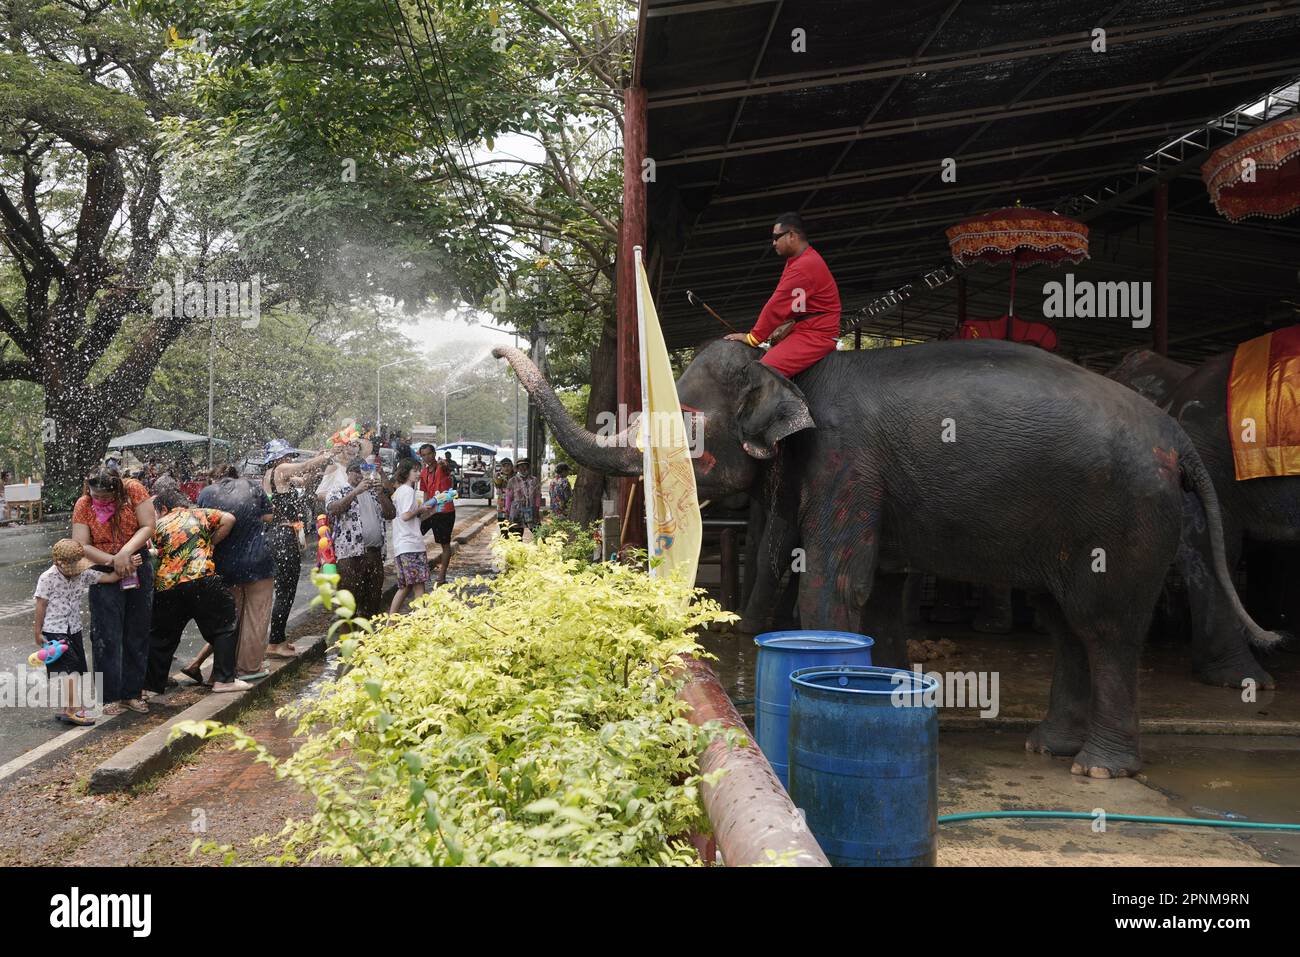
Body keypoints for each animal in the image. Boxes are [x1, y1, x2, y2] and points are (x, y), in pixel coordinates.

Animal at [494, 338, 1280, 777]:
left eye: (688, 424)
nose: (496, 349)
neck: (790, 371)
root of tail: (1174, 436)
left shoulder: (846, 459)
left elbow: (837, 580)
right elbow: (881, 591)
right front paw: (891, 683)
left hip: (1124, 520)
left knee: (1106, 629)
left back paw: (1097, 771)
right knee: (1064, 625)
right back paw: (1047, 748)